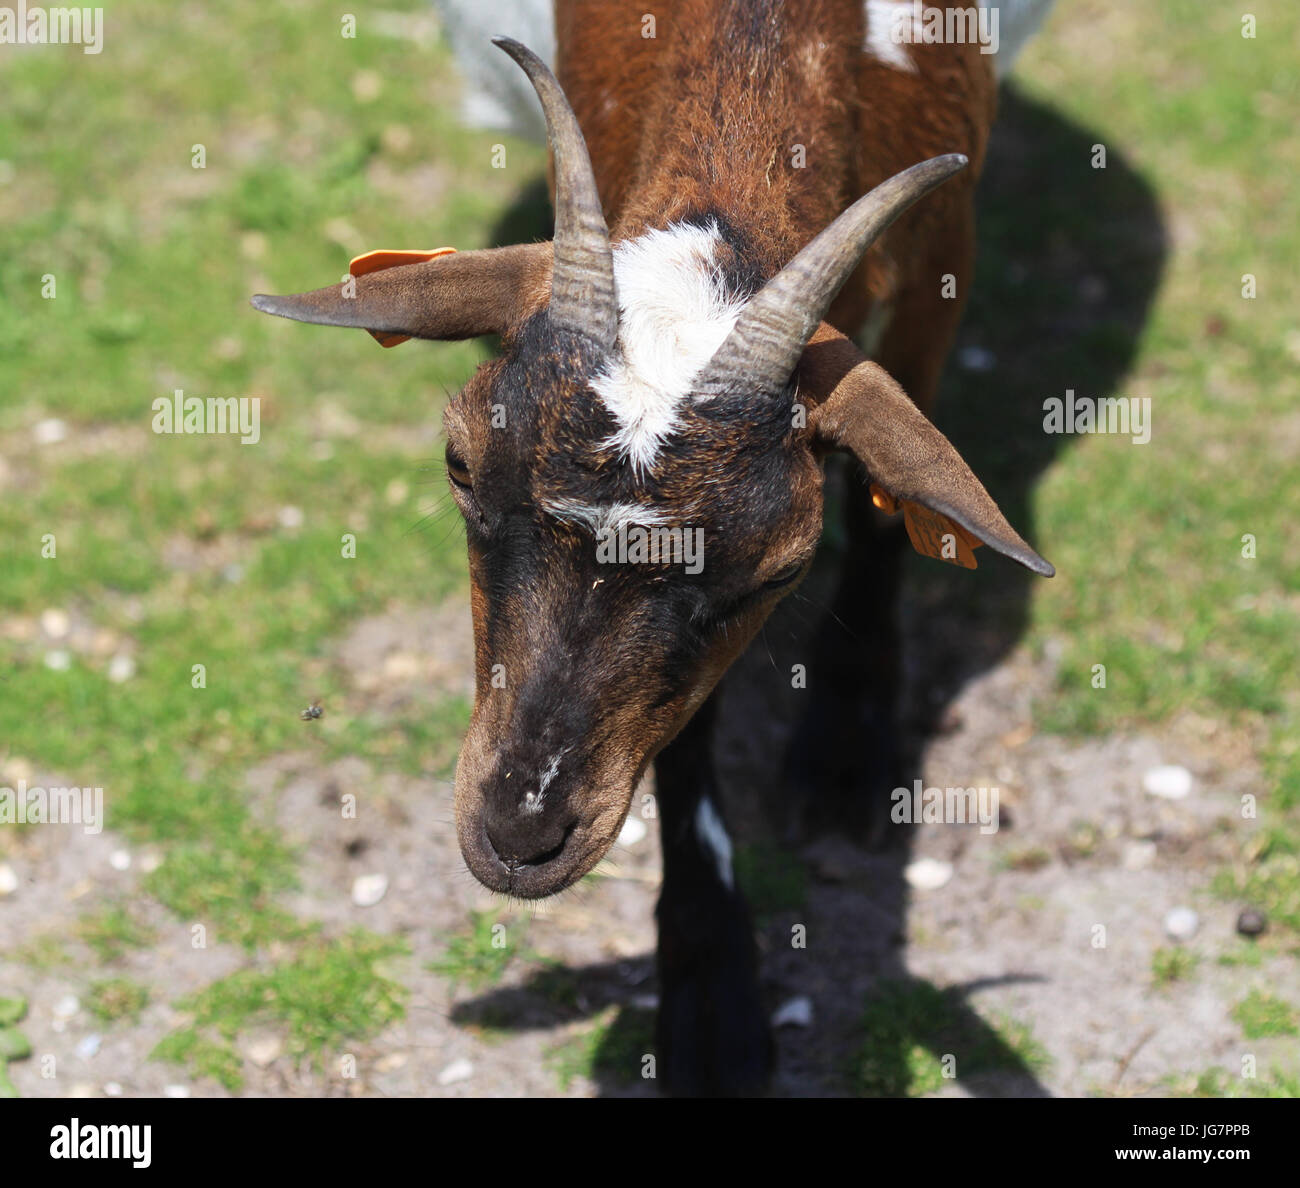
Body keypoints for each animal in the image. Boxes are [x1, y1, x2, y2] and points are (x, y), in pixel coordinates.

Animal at [252, 0, 1056, 1095]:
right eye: (459, 464)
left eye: (780, 566)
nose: (519, 834)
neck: (761, 54)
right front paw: (710, 997)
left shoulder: (942, 261)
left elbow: (893, 508)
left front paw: (848, 751)